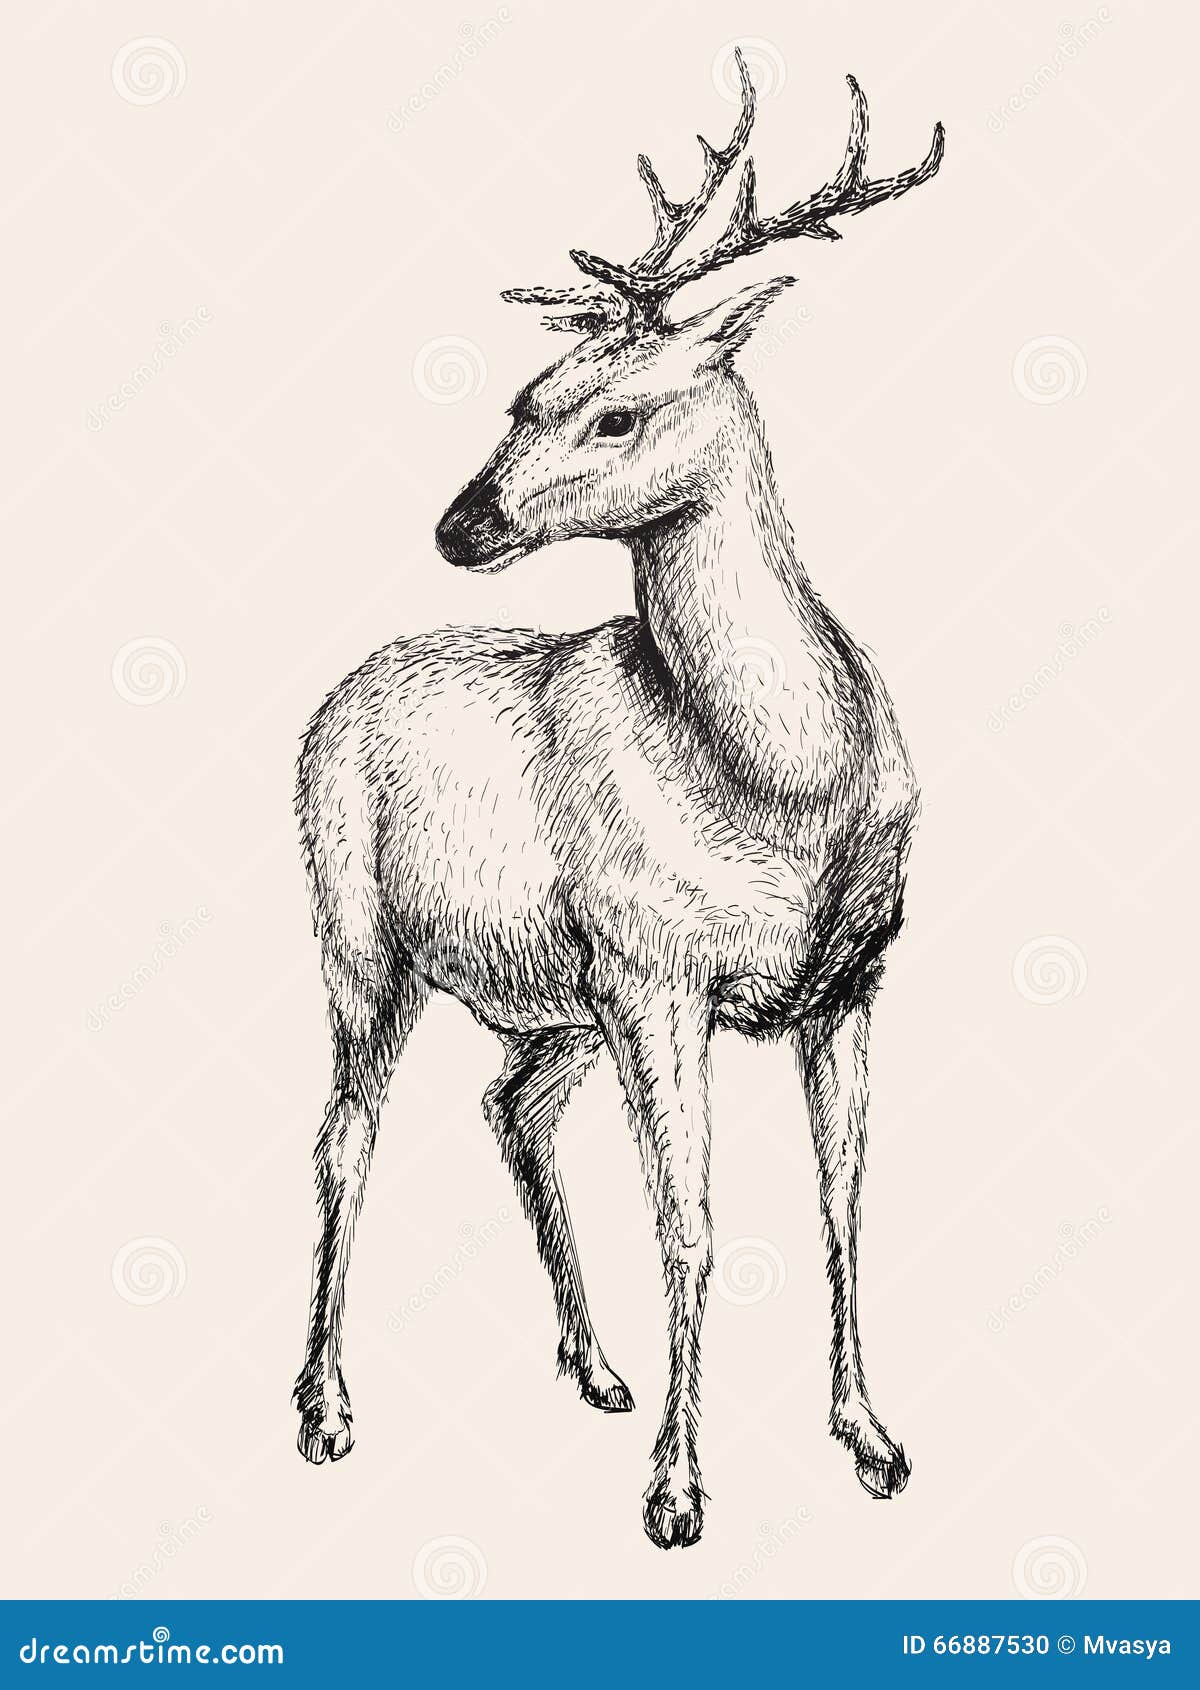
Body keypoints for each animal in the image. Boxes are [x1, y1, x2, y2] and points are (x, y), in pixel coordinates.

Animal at [294, 51, 944, 1550]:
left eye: (615, 409)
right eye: (523, 394)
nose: (460, 524)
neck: (782, 783)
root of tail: (338, 694)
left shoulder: (851, 980)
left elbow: (843, 1202)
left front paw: (873, 1439)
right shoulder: (661, 973)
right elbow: (693, 1224)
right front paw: (679, 1492)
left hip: (558, 999)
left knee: (510, 1107)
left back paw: (593, 1366)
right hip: (362, 938)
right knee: (344, 1139)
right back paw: (327, 1409)